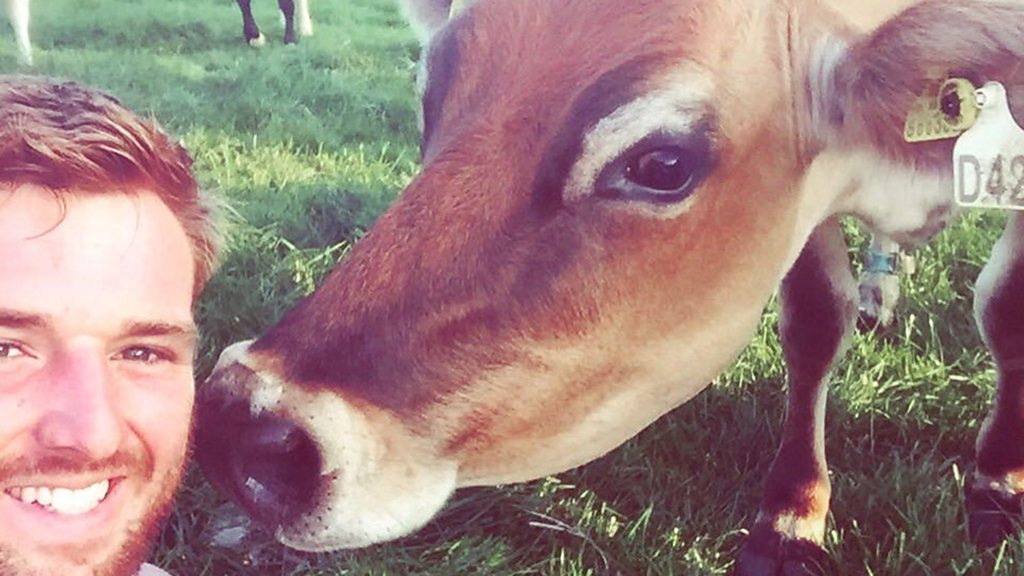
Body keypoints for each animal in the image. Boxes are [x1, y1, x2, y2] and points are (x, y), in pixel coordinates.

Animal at [195, 0, 1024, 573]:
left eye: (662, 165)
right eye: (430, 100)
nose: (241, 426)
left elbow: (1003, 306)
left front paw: (999, 483)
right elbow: (818, 319)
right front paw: (794, 514)